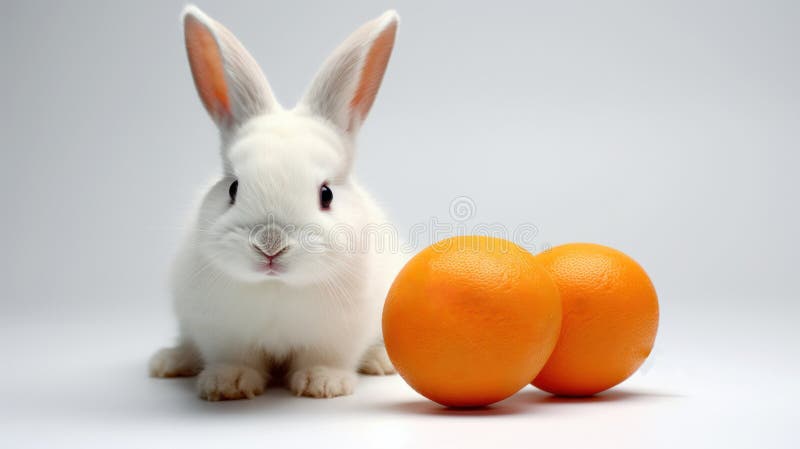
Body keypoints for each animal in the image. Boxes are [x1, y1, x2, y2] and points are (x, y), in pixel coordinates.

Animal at [149, 5, 405, 400]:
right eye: (233, 188)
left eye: (326, 194)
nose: (270, 245)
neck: (277, 288)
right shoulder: (222, 333)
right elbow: (234, 358)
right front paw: (229, 384)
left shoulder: (338, 336)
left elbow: (326, 358)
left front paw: (322, 383)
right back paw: (170, 362)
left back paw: (380, 361)